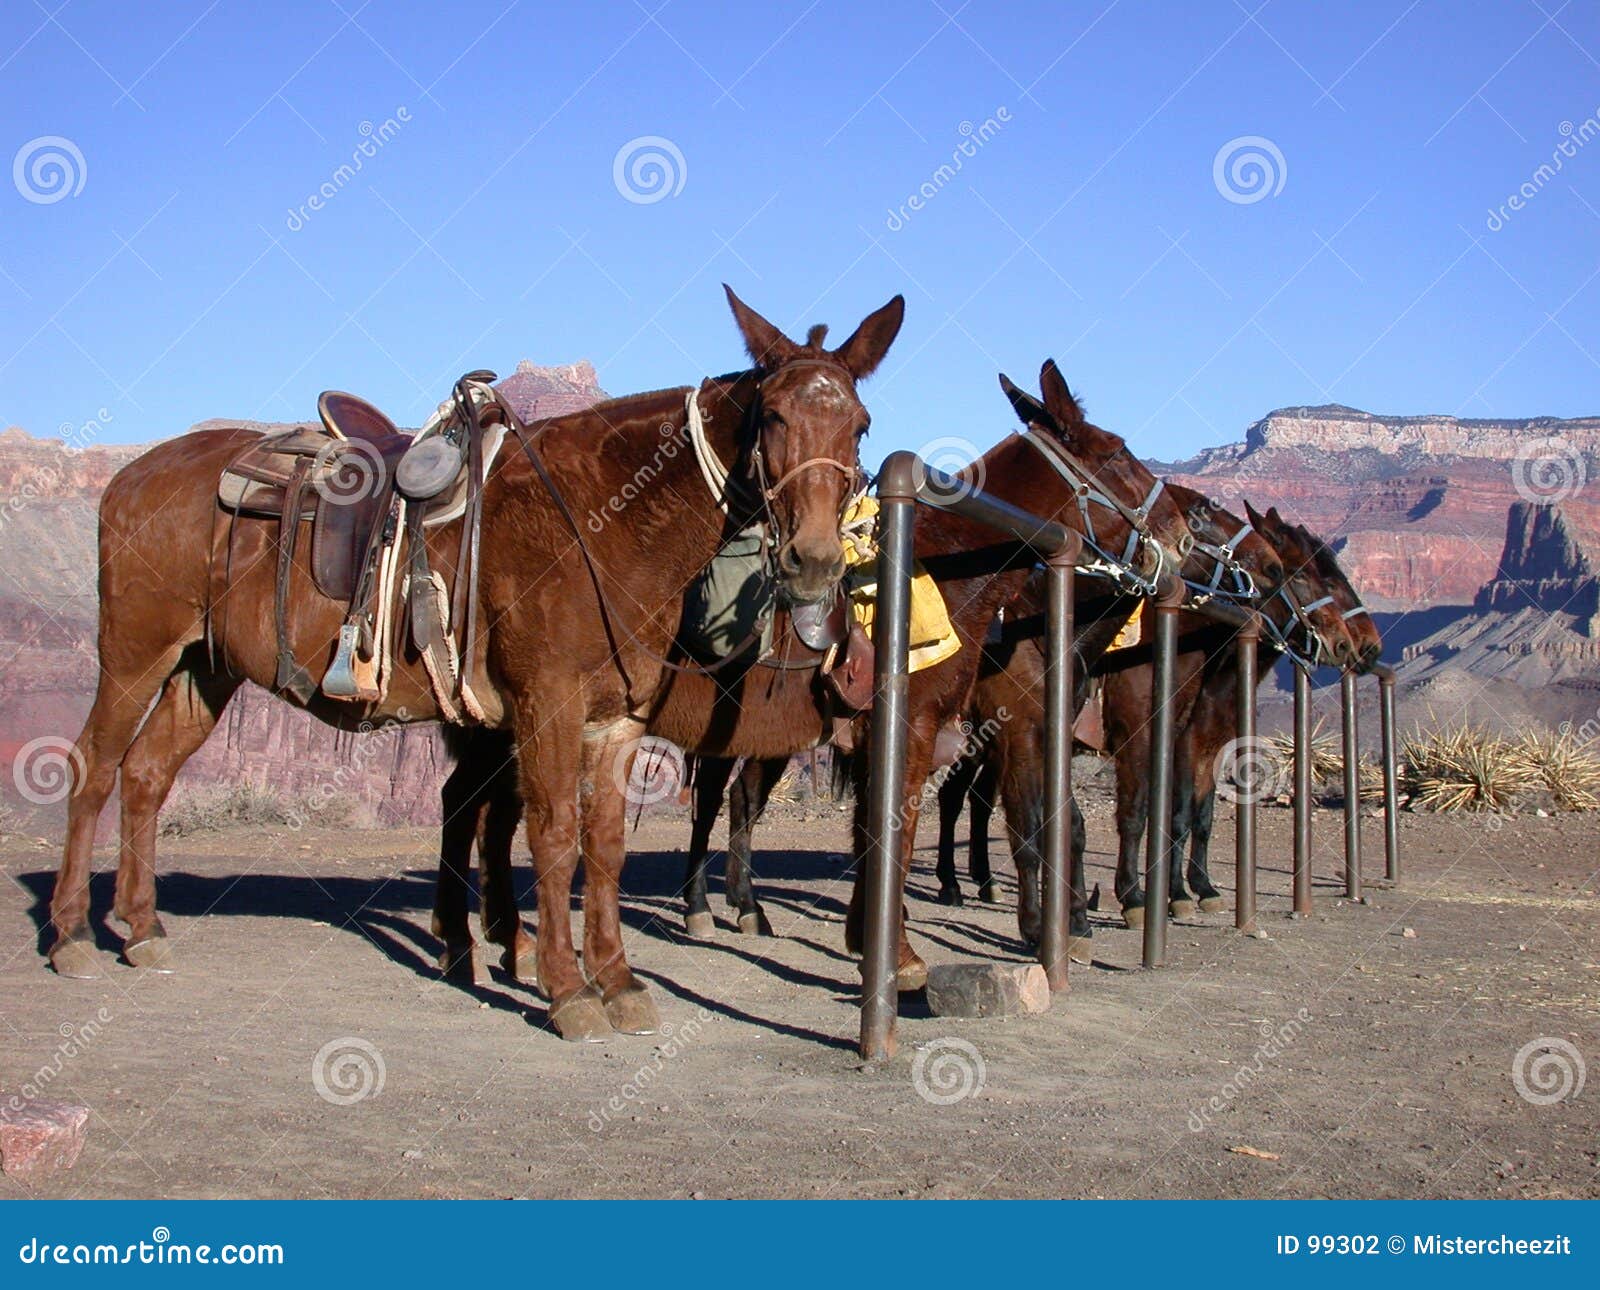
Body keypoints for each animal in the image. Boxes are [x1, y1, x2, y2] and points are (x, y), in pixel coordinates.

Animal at [48, 285, 904, 1045]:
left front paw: (617, 979)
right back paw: (72, 935)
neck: (603, 517)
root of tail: (132, 475)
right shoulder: (547, 705)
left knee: (147, 775)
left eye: (859, 425)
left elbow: (604, 848)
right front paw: (568, 991)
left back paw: (143, 927)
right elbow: (553, 836)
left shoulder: (616, 720)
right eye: (775, 416)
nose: (816, 559)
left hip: (204, 670)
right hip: (135, 655)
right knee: (95, 766)